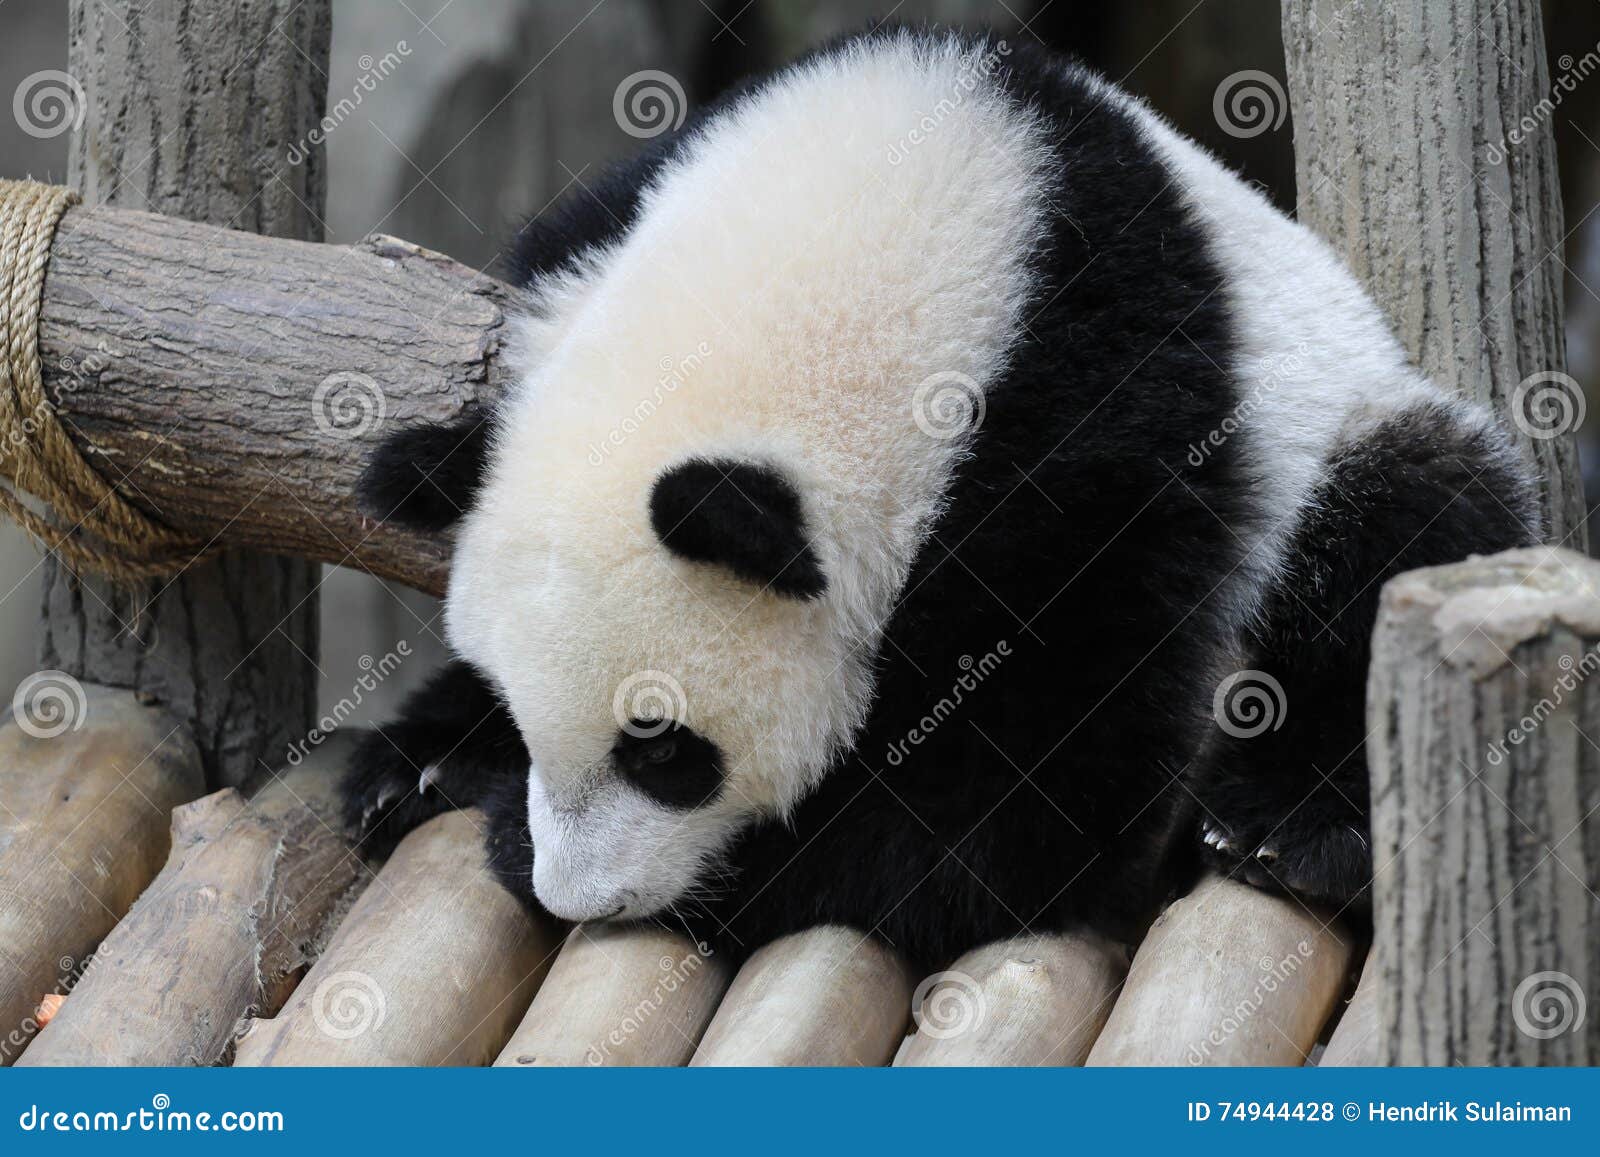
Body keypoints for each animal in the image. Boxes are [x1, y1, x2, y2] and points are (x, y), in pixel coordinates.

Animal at [343, 27, 1540, 969]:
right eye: (521, 707)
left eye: (664, 749)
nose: (581, 893)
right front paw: (435, 755)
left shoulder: (1095, 442)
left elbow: (1012, 815)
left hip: (1350, 429)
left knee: (1407, 529)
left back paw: (1280, 827)